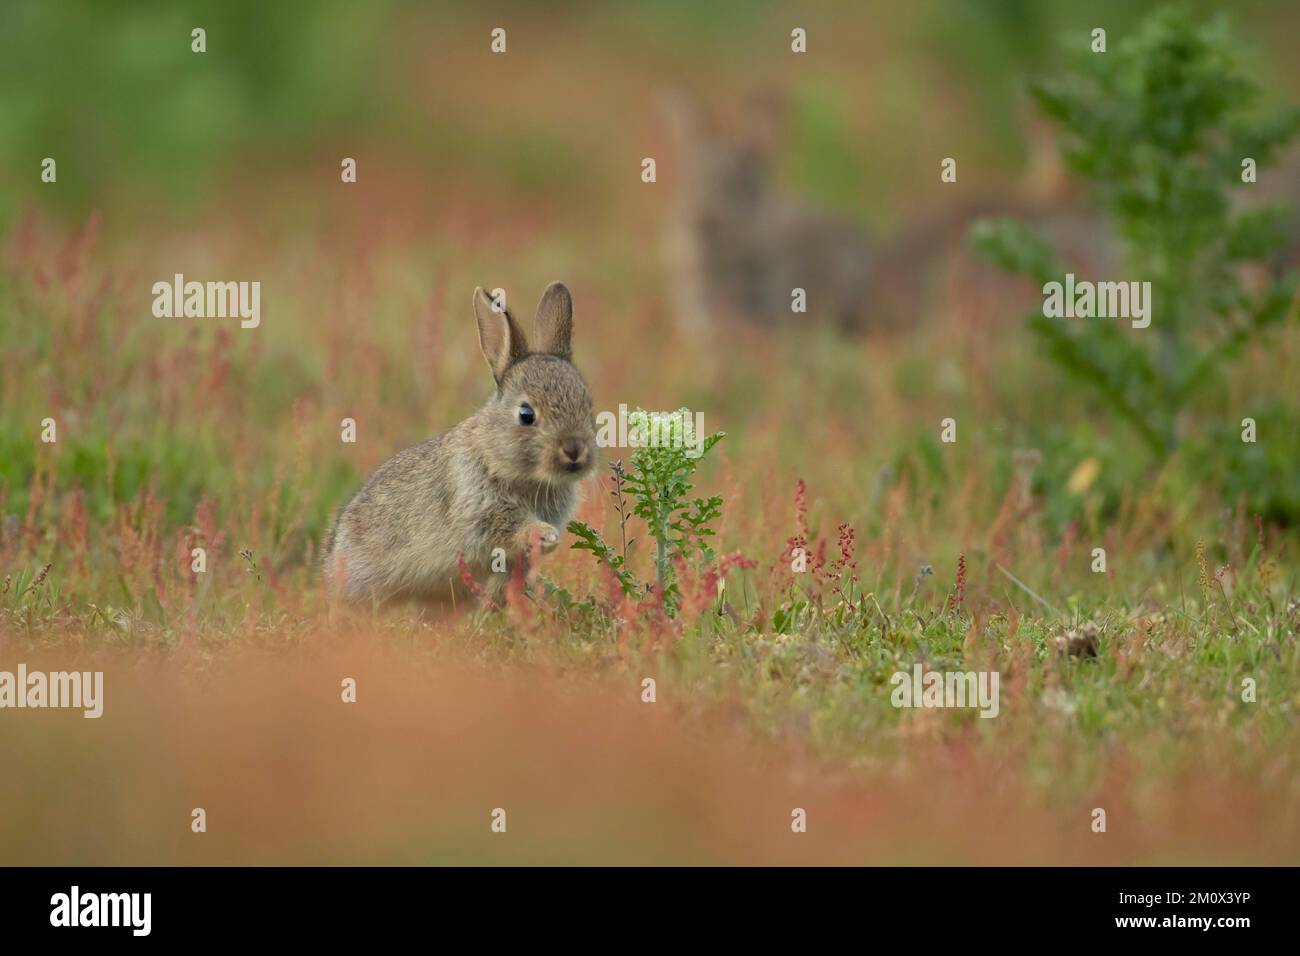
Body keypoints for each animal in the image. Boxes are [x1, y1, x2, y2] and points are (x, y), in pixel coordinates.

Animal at [324, 281, 597, 604]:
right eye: (526, 414)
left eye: (588, 405)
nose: (575, 451)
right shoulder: (479, 505)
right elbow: (509, 525)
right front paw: (545, 535)